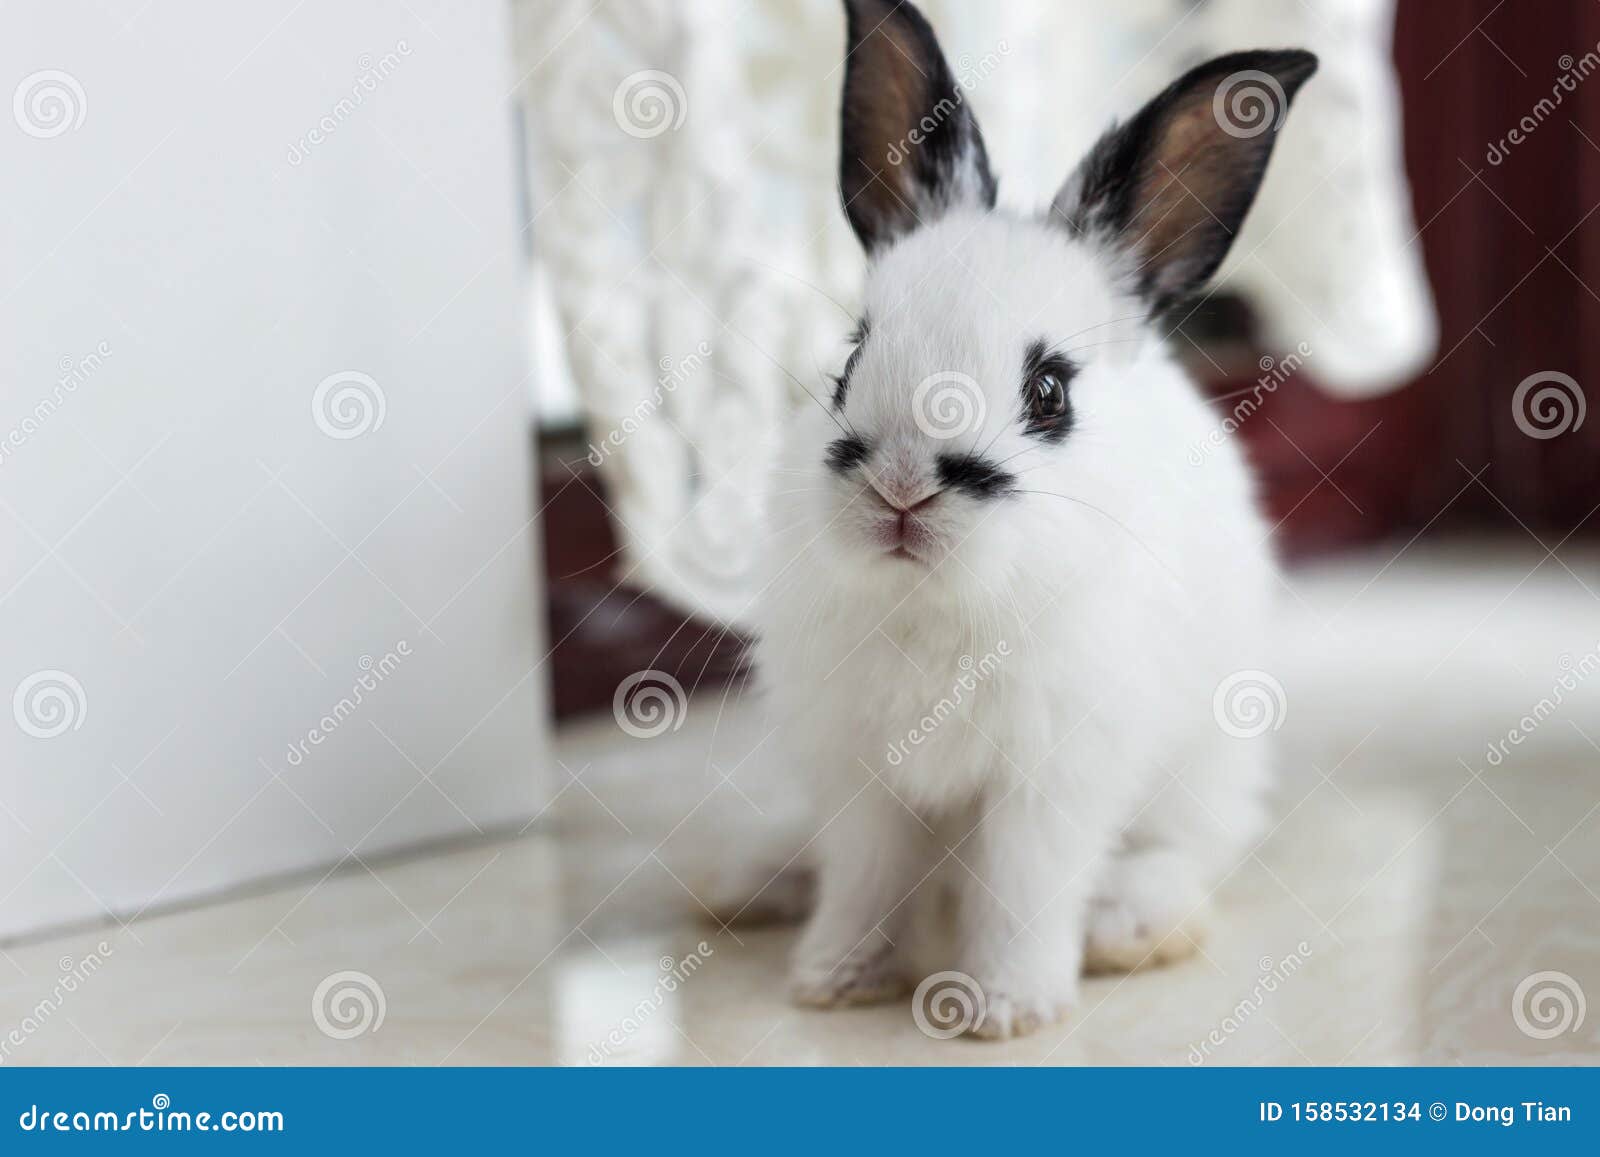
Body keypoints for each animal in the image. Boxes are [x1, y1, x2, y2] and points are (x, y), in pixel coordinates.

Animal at [750, 0, 1316, 1040]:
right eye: (850, 361)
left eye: (1048, 392)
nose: (900, 487)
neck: (935, 606)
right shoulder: (858, 775)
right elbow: (863, 878)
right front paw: (834, 980)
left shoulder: (1050, 778)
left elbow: (1022, 887)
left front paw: (1007, 1009)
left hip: (1208, 770)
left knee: (1187, 852)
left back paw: (1134, 927)